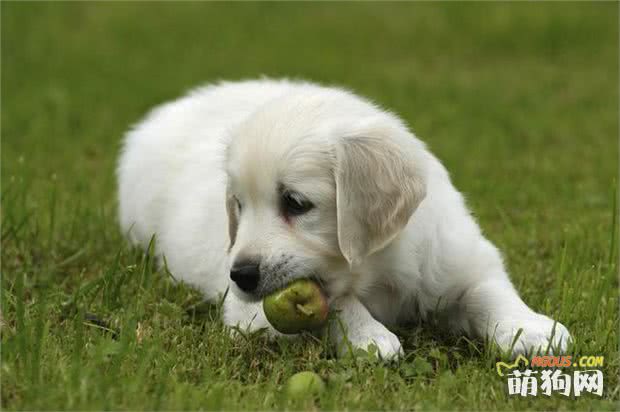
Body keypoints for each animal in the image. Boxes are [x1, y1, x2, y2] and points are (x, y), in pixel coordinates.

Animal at [117, 79, 572, 358]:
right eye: (239, 206)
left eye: (295, 203)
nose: (240, 276)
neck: (377, 269)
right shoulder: (250, 316)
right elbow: (335, 303)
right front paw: (370, 337)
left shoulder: (459, 255)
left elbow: (488, 290)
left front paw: (531, 329)